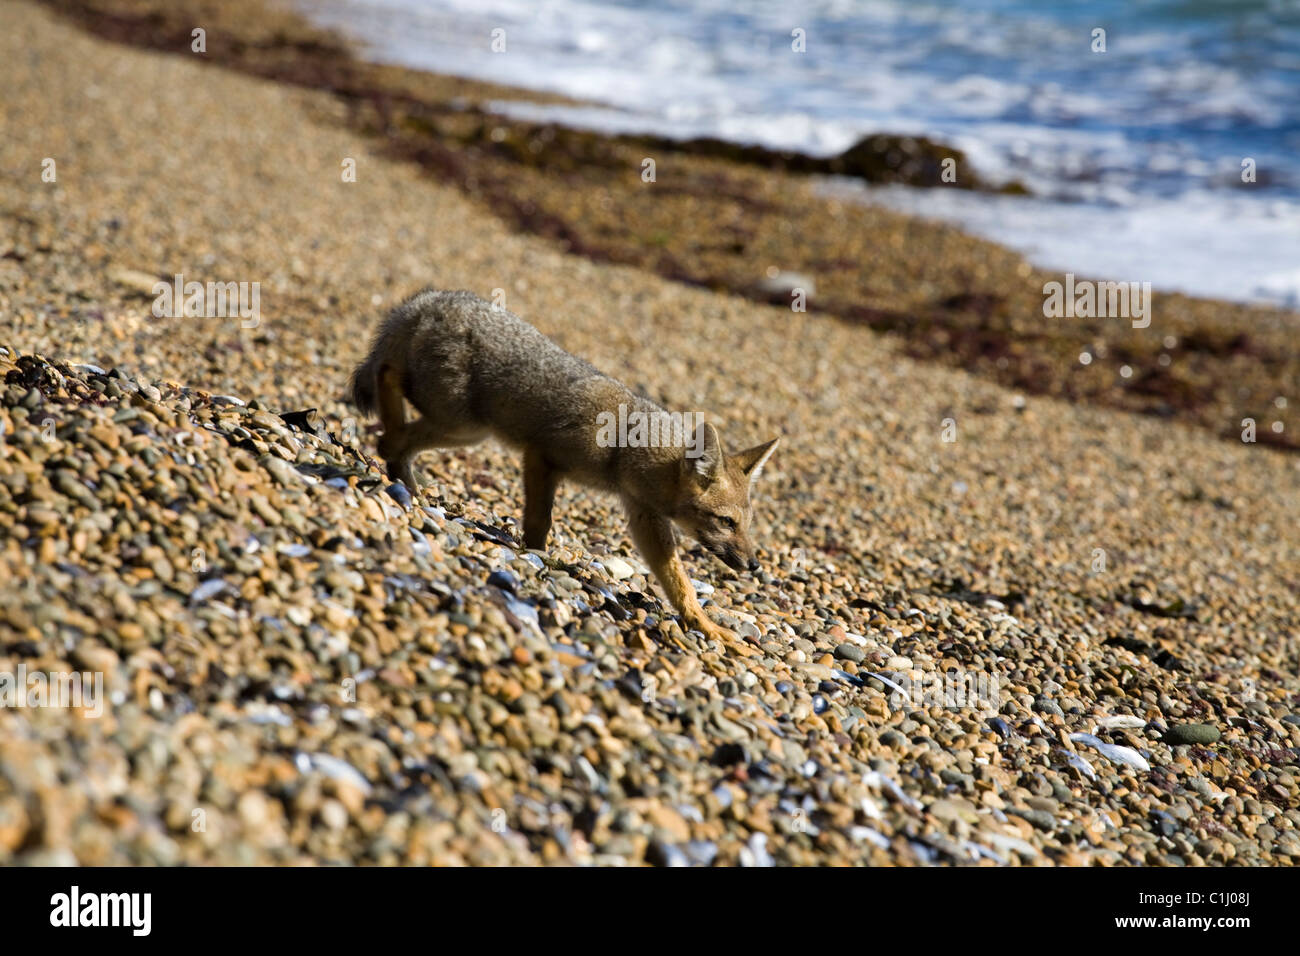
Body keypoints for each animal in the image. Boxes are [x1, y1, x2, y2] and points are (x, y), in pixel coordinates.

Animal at [348, 289, 779, 649]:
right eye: (726, 522)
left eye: (747, 524)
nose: (755, 565)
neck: (625, 446)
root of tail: (431, 299)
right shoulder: (541, 458)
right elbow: (541, 521)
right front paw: (536, 558)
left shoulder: (644, 515)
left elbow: (679, 581)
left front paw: (703, 624)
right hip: (462, 424)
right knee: (386, 380)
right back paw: (392, 450)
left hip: (462, 429)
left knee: (397, 425)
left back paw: (402, 476)